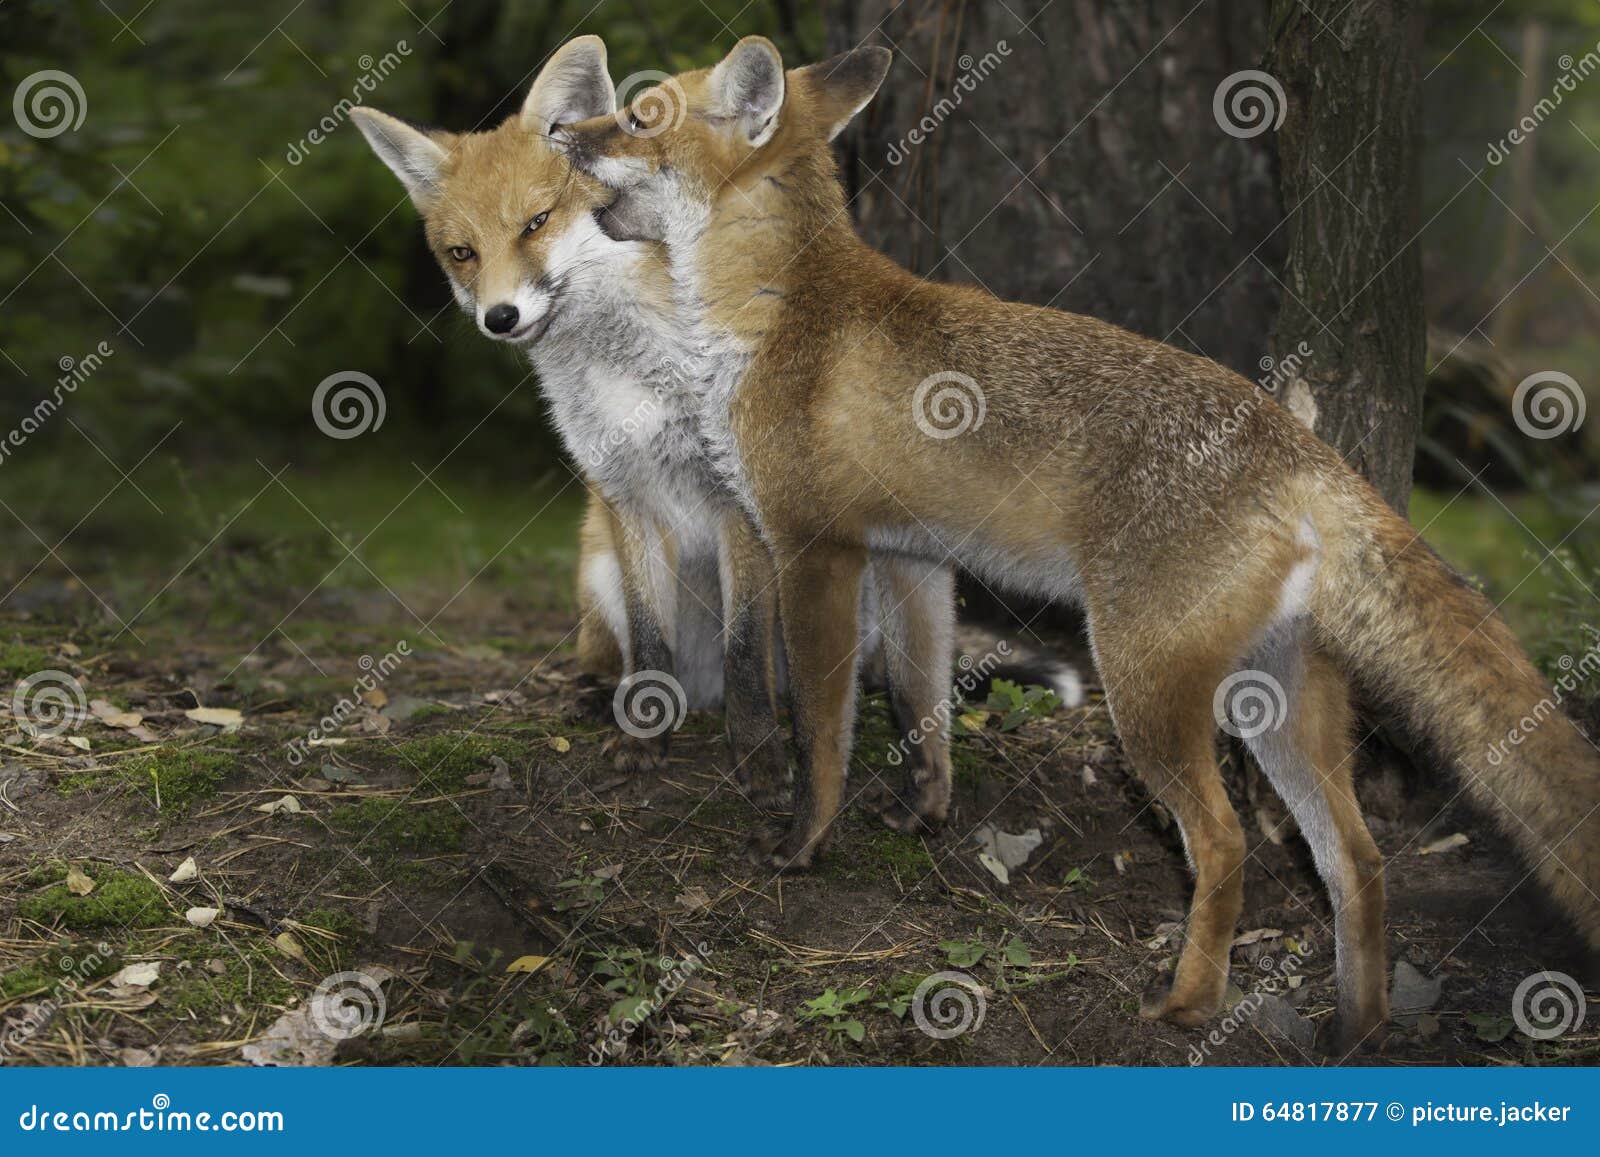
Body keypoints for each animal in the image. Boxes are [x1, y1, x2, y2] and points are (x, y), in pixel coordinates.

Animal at [552, 38, 1600, 1051]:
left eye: (639, 116)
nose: (563, 130)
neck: (775, 303)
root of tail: (1302, 450)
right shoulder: (911, 557)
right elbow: (921, 701)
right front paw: (924, 813)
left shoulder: (815, 549)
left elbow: (822, 733)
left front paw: (802, 843)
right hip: (1278, 702)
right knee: (1356, 860)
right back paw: (1358, 1028)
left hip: (1144, 691)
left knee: (1226, 844)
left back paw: (1189, 1004)